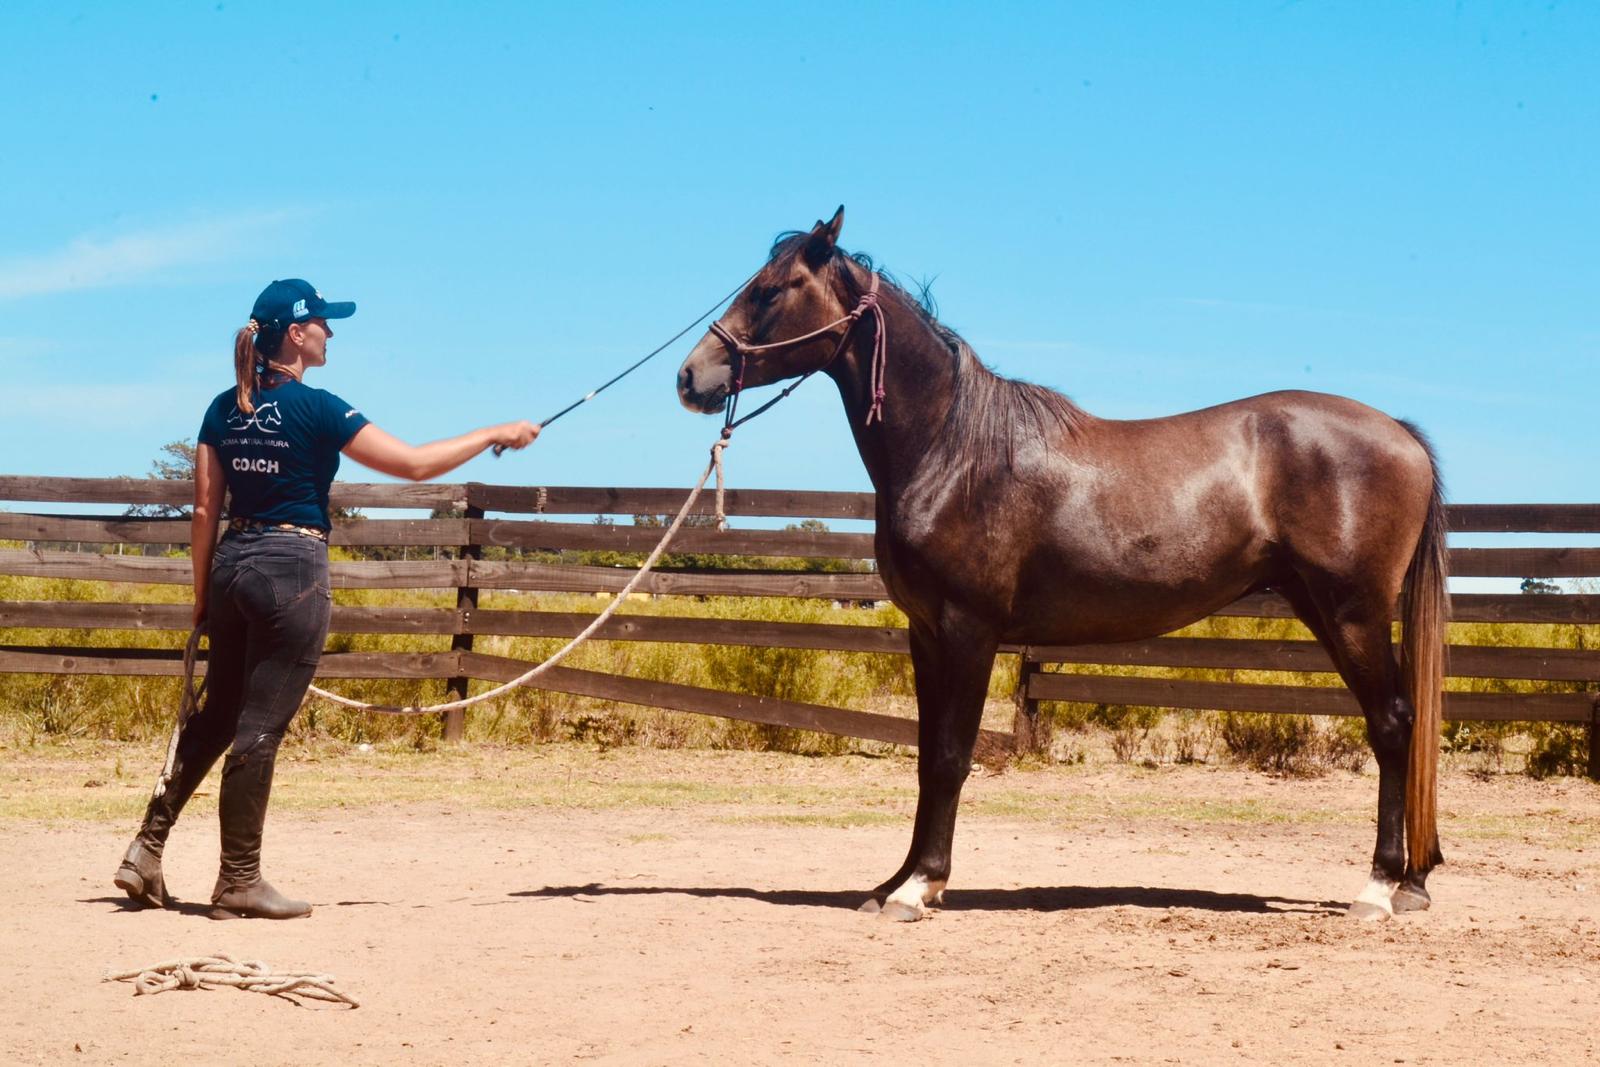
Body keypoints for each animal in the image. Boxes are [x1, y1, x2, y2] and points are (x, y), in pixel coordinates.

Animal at [677, 208, 1447, 923]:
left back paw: (1379, 888)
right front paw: (893, 883)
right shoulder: (925, 632)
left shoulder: (969, 630)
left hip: (1352, 613)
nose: (690, 376)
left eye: (771, 291)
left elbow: (952, 756)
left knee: (1392, 724)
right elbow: (926, 757)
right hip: (1322, 606)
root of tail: (1401, 434)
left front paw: (922, 887)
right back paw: (1411, 881)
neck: (952, 449)